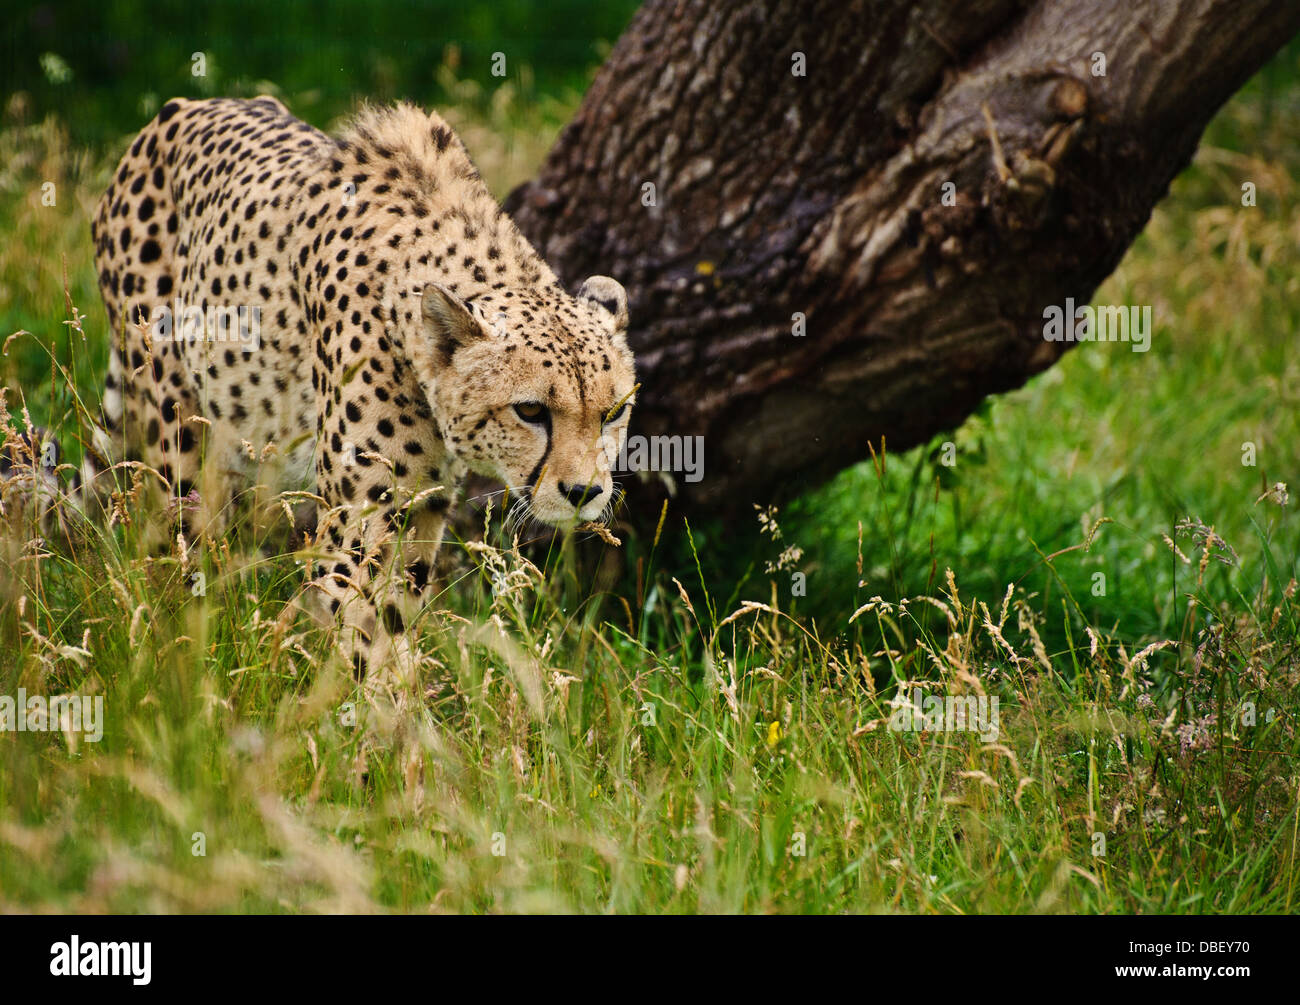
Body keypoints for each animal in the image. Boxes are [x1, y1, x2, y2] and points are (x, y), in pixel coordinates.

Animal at [80, 95, 635, 682]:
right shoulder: (358, 527)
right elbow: (364, 640)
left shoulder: (423, 505)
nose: (584, 493)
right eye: (530, 410)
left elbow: (394, 618)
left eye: (613, 412)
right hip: (176, 421)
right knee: (177, 541)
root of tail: (178, 108)